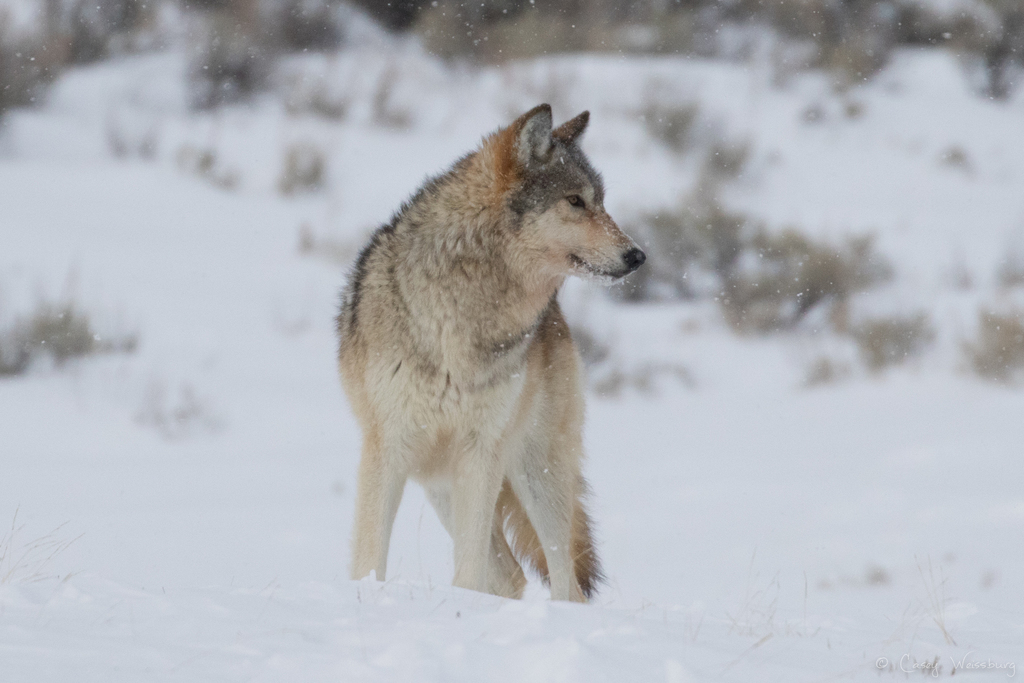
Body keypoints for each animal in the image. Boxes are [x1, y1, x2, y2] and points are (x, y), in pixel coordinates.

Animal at [336, 104, 645, 602]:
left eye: (600, 200)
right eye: (575, 201)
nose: (637, 256)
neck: (461, 310)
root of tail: (556, 316)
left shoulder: (481, 450)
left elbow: (469, 568)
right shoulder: (387, 447)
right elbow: (369, 559)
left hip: (535, 472)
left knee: (563, 581)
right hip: (439, 481)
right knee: (511, 576)